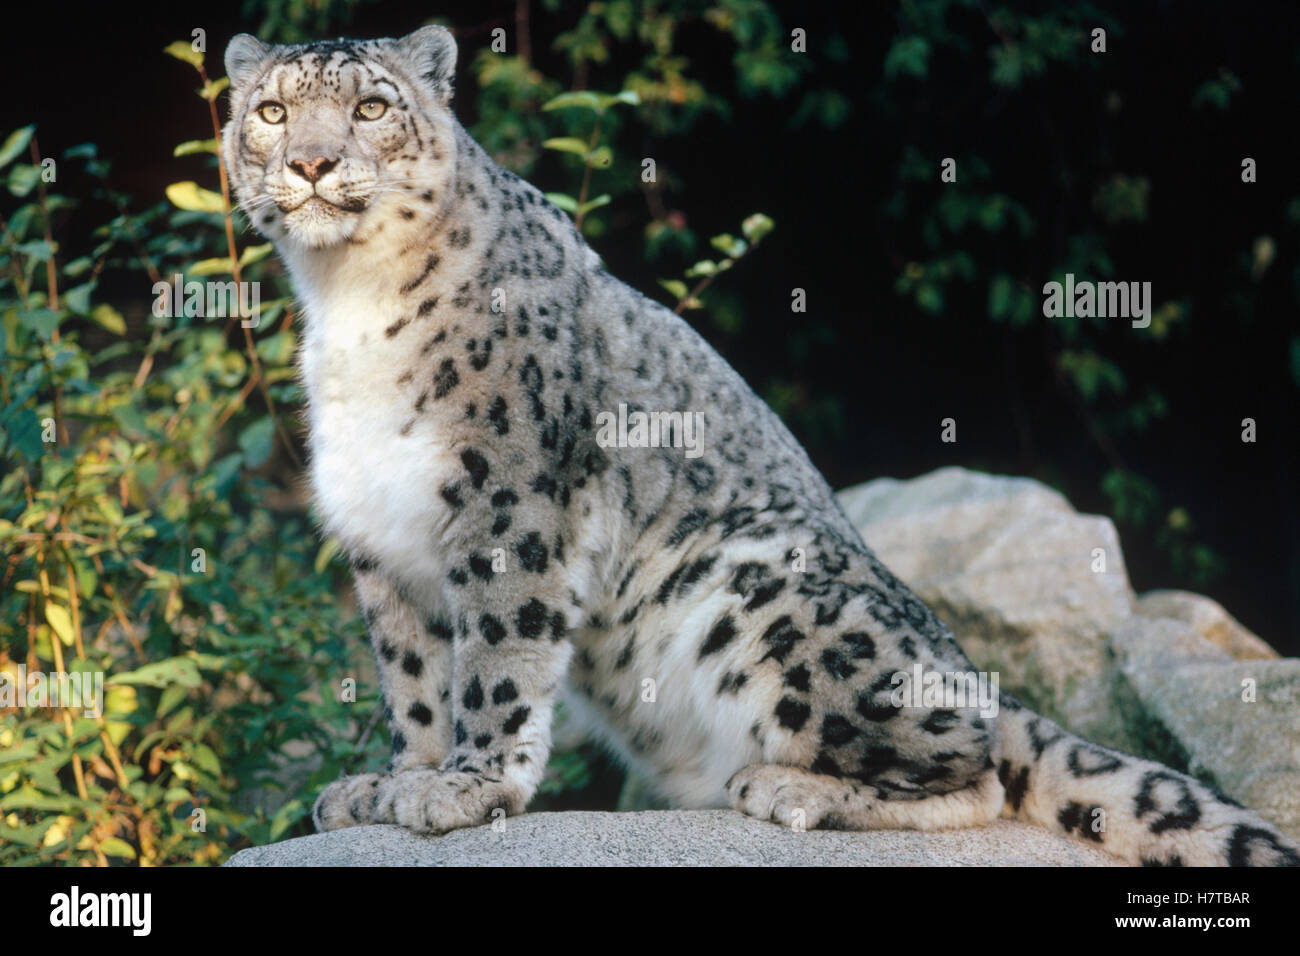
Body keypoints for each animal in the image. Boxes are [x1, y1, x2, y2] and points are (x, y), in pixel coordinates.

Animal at [222, 24, 1299, 865]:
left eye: (370, 106)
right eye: (270, 111)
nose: (310, 162)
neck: (345, 302)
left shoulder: (509, 504)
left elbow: (495, 657)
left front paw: (467, 785)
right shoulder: (381, 536)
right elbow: (412, 677)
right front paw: (392, 780)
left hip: (765, 590)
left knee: (983, 765)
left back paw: (792, 788)